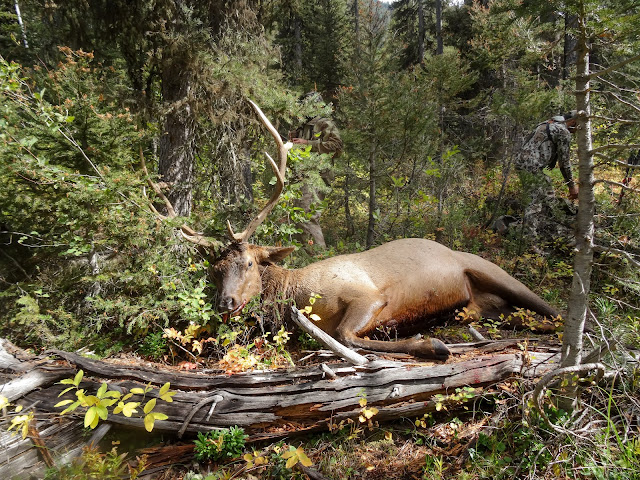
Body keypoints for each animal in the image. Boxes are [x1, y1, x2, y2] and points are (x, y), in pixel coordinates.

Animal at [145, 100, 561, 361]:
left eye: (248, 263)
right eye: (213, 271)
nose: (225, 302)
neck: (296, 294)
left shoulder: (368, 296)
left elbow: (345, 336)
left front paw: (431, 345)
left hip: (492, 270)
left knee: (552, 308)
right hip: (478, 309)